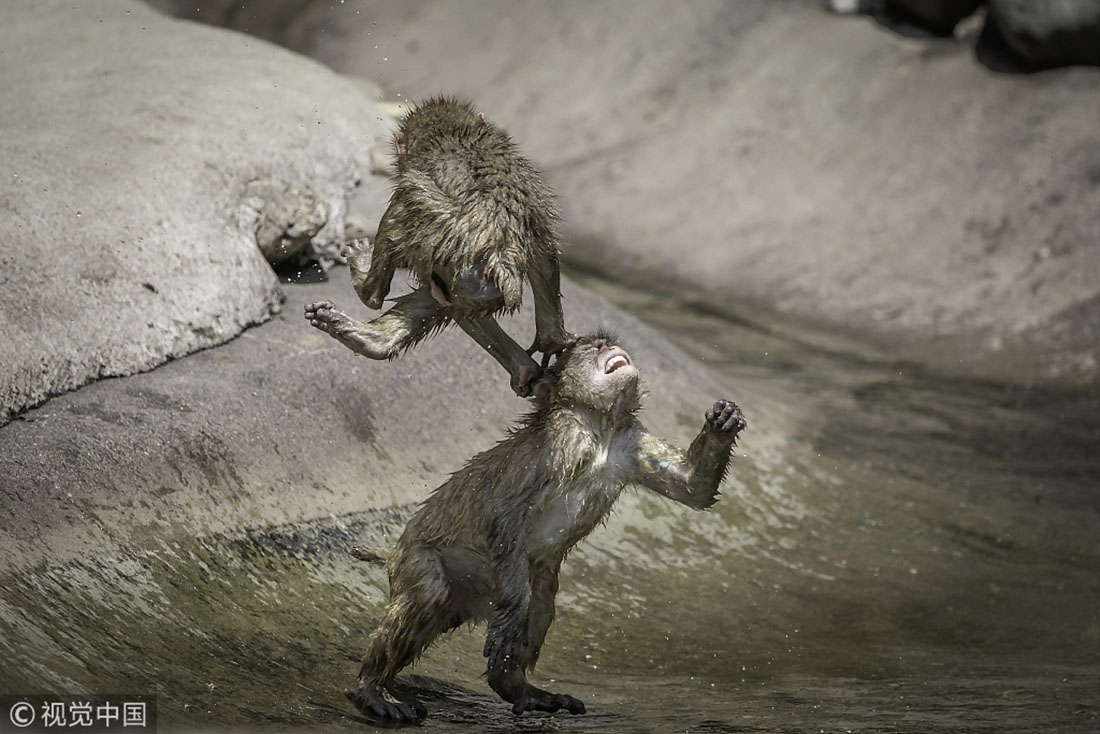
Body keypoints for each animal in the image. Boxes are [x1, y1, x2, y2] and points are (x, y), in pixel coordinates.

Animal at [305, 97, 572, 397]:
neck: (448, 132)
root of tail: (499, 254)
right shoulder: (532, 188)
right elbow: (545, 249)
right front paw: (552, 339)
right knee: (450, 302)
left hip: (448, 252)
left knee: (405, 203)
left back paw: (367, 290)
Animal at [350, 332, 747, 722]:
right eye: (594, 346)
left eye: (606, 341)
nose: (610, 347)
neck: (598, 428)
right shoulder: (558, 441)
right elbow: (507, 508)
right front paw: (513, 613)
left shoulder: (628, 442)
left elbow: (692, 489)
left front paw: (722, 422)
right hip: (423, 558)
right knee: (431, 592)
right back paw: (375, 689)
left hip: (517, 579)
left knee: (540, 607)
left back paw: (519, 689)